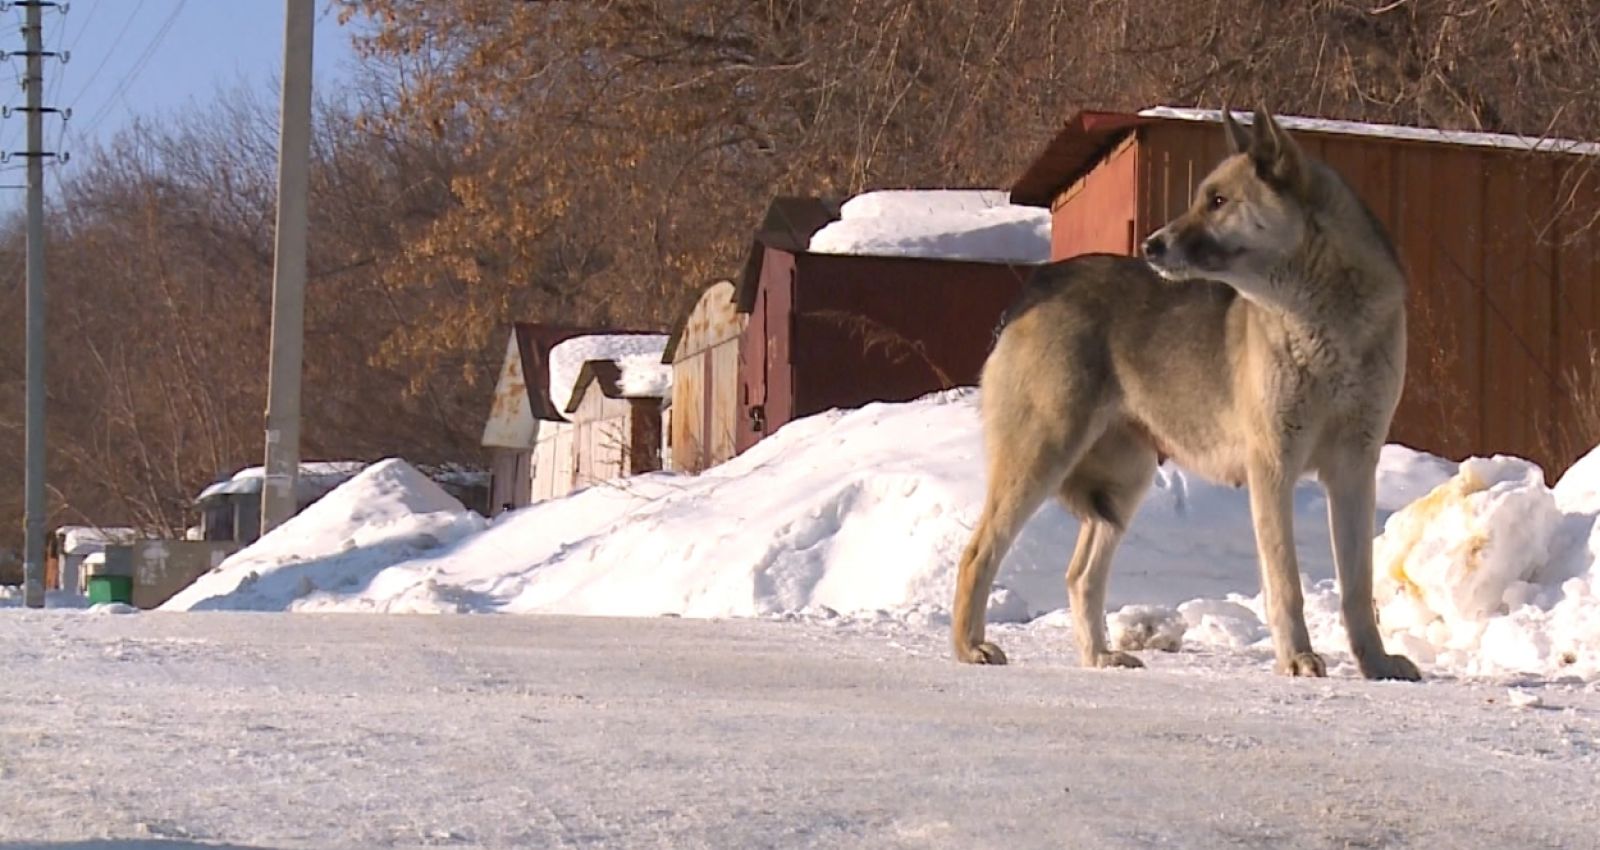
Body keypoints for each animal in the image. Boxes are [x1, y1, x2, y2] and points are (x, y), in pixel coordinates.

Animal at [940, 108, 1420, 678]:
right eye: (1202, 197)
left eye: (1218, 201)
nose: (1150, 245)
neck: (1323, 322)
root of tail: (1036, 285)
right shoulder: (1273, 468)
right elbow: (1286, 583)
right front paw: (1298, 657)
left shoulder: (1354, 470)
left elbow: (1357, 587)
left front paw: (1377, 662)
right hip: (1041, 456)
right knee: (978, 553)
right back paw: (969, 647)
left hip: (1125, 482)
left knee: (1080, 575)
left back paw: (1100, 656)